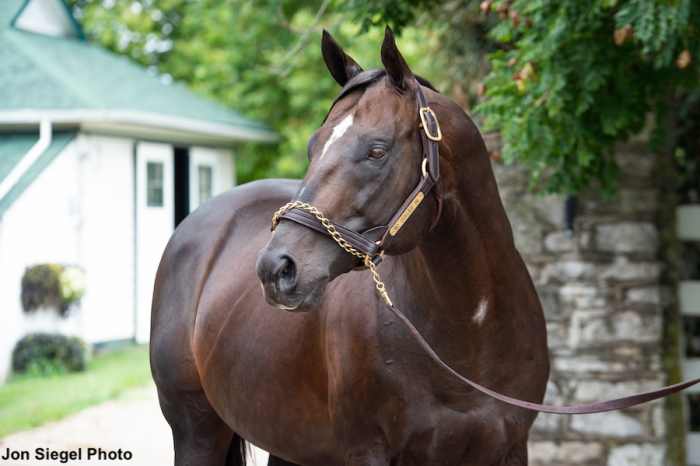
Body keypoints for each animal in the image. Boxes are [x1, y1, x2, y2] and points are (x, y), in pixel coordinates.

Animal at [150, 27, 549, 466]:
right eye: (313, 146)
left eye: (377, 150)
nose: (276, 269)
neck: (469, 338)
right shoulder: (366, 451)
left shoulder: (511, 449)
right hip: (197, 431)